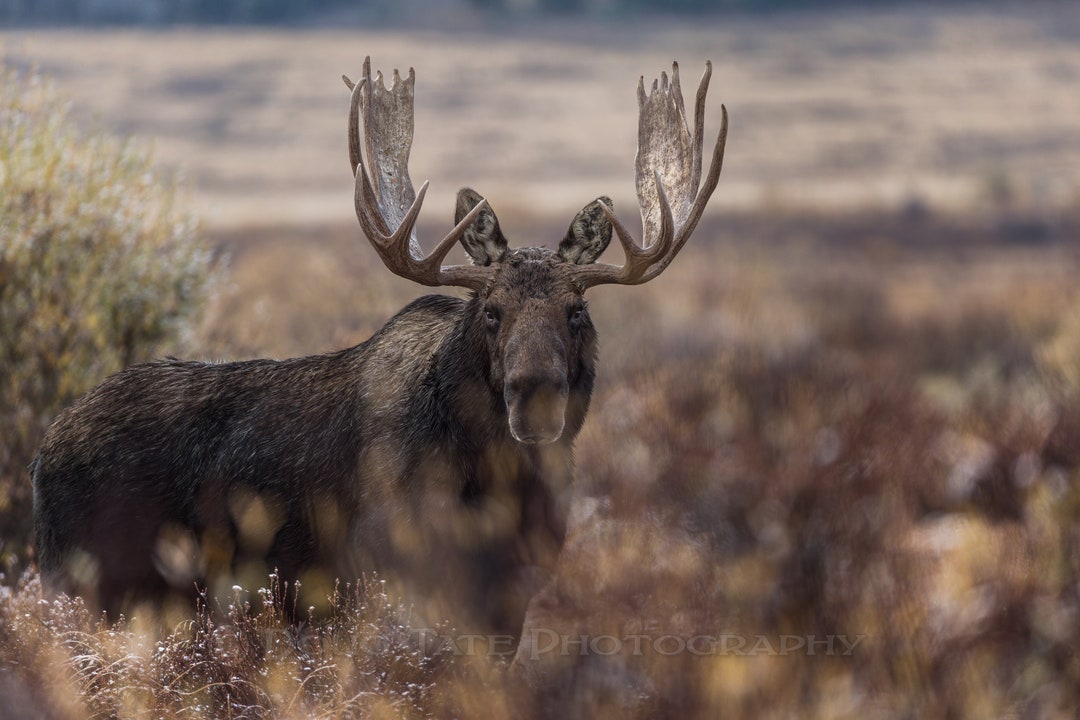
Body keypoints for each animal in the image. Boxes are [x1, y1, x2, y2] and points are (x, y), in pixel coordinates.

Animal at [31, 57, 727, 637]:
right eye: (491, 312)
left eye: (576, 311)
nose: (535, 399)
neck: (499, 483)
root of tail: (42, 453)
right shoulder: (382, 578)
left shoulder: (514, 597)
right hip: (91, 587)